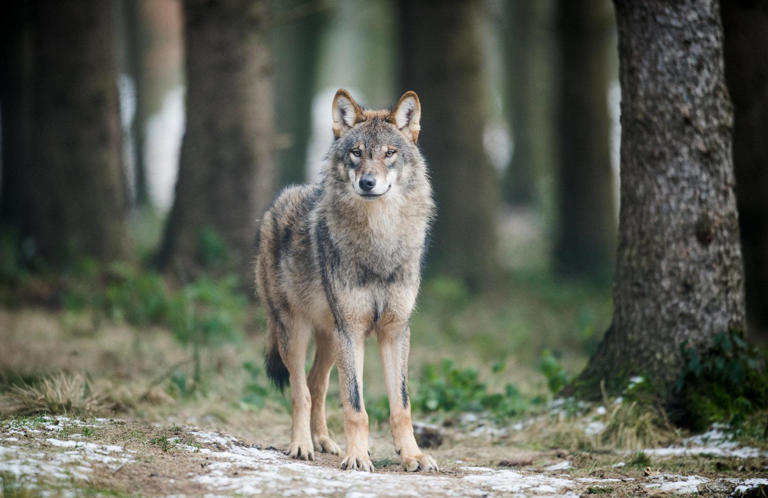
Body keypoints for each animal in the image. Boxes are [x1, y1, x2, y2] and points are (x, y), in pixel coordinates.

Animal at [254, 89, 437, 472]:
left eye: (389, 153)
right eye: (357, 153)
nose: (367, 182)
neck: (379, 241)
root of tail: (274, 205)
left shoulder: (395, 331)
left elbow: (401, 405)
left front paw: (411, 455)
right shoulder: (351, 330)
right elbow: (356, 406)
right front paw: (357, 457)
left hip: (329, 338)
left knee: (317, 384)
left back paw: (323, 441)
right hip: (296, 332)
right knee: (300, 390)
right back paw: (301, 445)